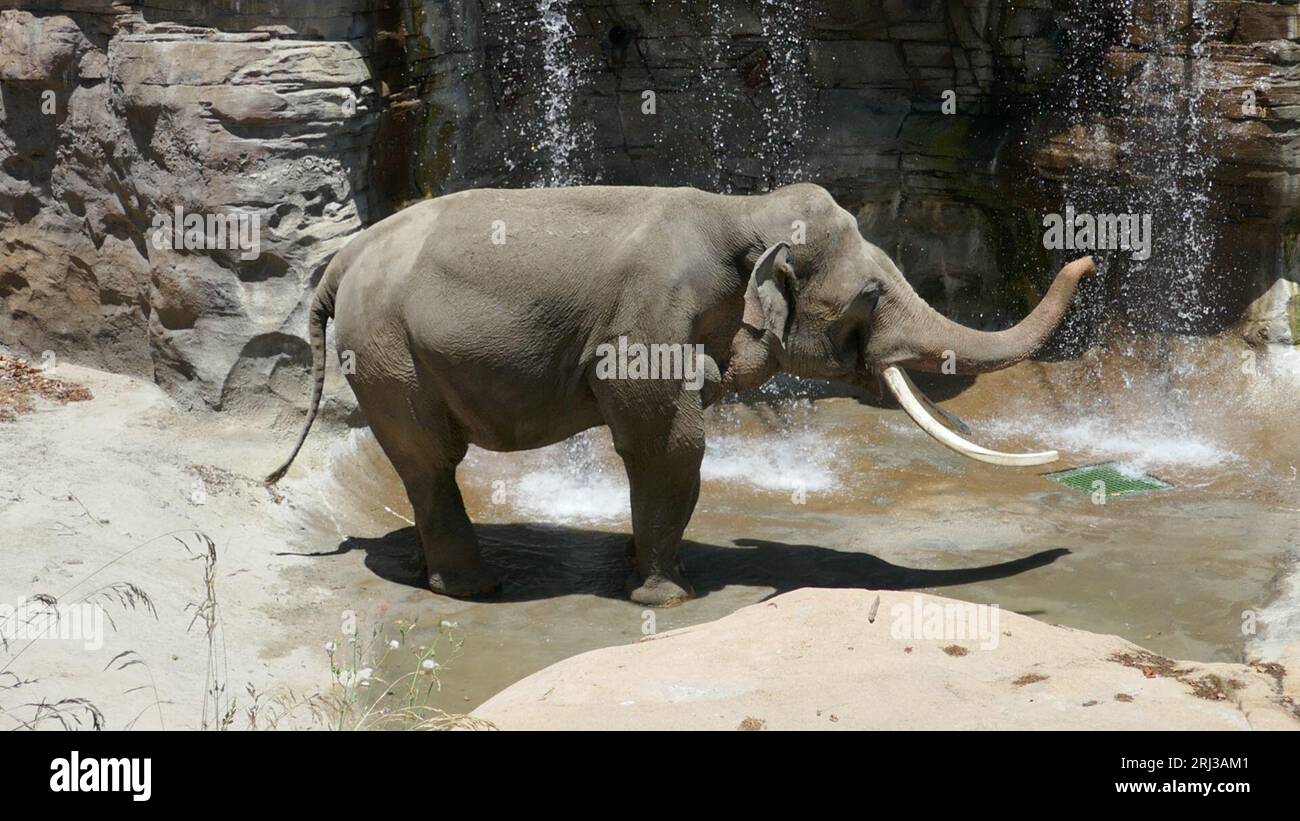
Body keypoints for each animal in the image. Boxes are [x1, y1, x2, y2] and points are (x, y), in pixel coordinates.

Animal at [268, 183, 1094, 606]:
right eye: (870, 295)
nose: (1084, 256)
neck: (741, 208)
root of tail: (343, 257)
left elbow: (662, 446)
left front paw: (638, 571)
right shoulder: (648, 319)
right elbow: (669, 443)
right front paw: (668, 596)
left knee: (420, 466)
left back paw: (425, 572)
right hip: (389, 348)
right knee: (431, 458)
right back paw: (475, 587)